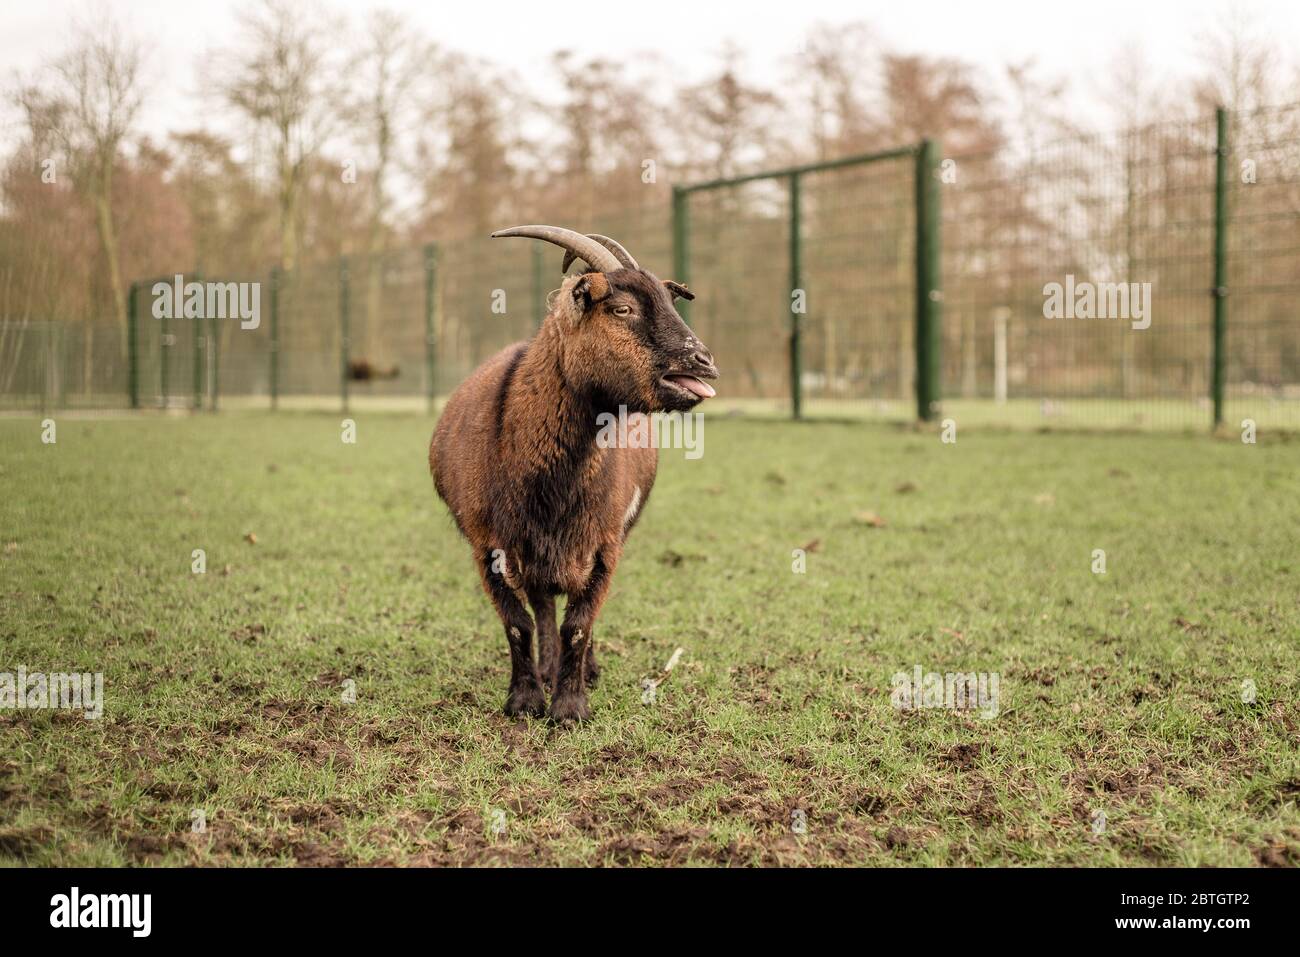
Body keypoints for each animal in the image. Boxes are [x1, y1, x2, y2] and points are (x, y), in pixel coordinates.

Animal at [429, 226, 719, 722]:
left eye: (669, 301)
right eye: (622, 309)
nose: (703, 361)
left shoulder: (604, 544)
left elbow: (580, 624)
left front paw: (570, 707)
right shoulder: (489, 546)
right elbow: (519, 623)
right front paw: (525, 701)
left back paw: (584, 671)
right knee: (544, 605)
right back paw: (547, 669)